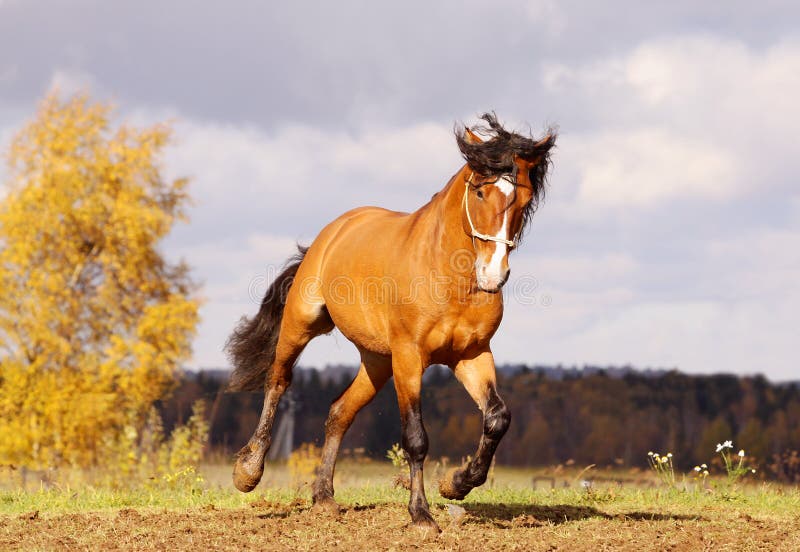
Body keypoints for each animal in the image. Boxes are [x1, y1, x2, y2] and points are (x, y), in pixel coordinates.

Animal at [226, 113, 556, 533]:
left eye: (525, 200)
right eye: (481, 193)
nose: (493, 274)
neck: (449, 274)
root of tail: (334, 230)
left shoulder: (471, 355)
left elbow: (497, 418)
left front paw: (456, 484)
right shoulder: (409, 357)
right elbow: (415, 436)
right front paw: (421, 516)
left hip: (376, 360)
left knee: (339, 412)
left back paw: (324, 499)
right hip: (303, 325)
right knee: (278, 381)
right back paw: (248, 471)